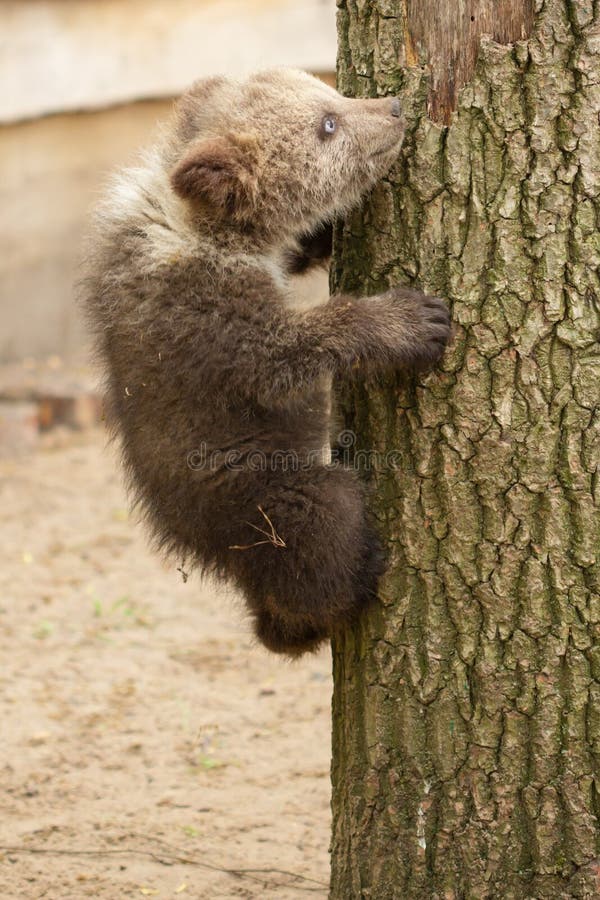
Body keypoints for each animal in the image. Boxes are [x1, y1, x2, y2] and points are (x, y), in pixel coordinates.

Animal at [82, 68, 450, 657]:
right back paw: (345, 586)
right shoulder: (209, 315)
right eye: (327, 124)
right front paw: (410, 321)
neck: (209, 233)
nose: (394, 106)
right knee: (320, 524)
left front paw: (324, 233)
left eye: (331, 93)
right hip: (258, 493)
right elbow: (283, 358)